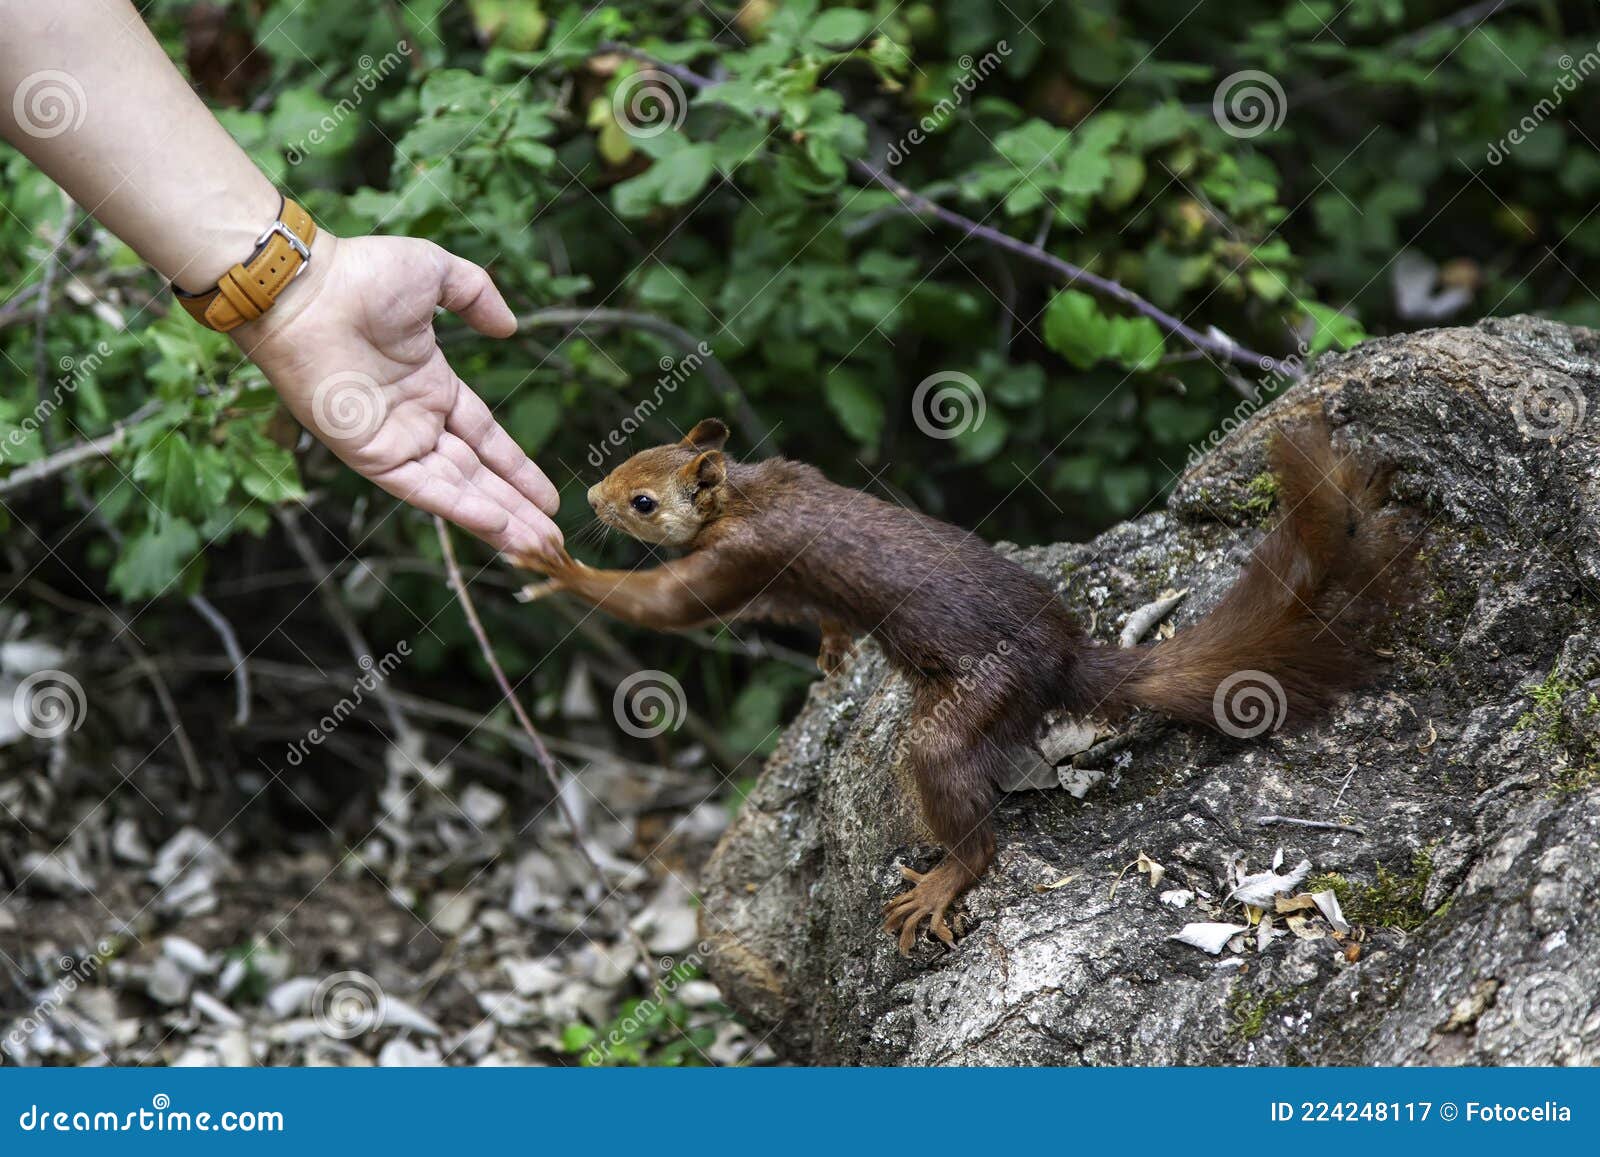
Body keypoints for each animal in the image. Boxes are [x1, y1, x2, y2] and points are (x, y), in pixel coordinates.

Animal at [514, 416, 1410, 954]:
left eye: (641, 499)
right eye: (629, 456)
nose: (588, 494)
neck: (747, 492)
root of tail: (1068, 659)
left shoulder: (740, 557)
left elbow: (668, 605)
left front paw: (554, 567)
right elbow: (815, 613)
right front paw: (833, 651)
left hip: (971, 712)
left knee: (975, 827)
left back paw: (939, 881)